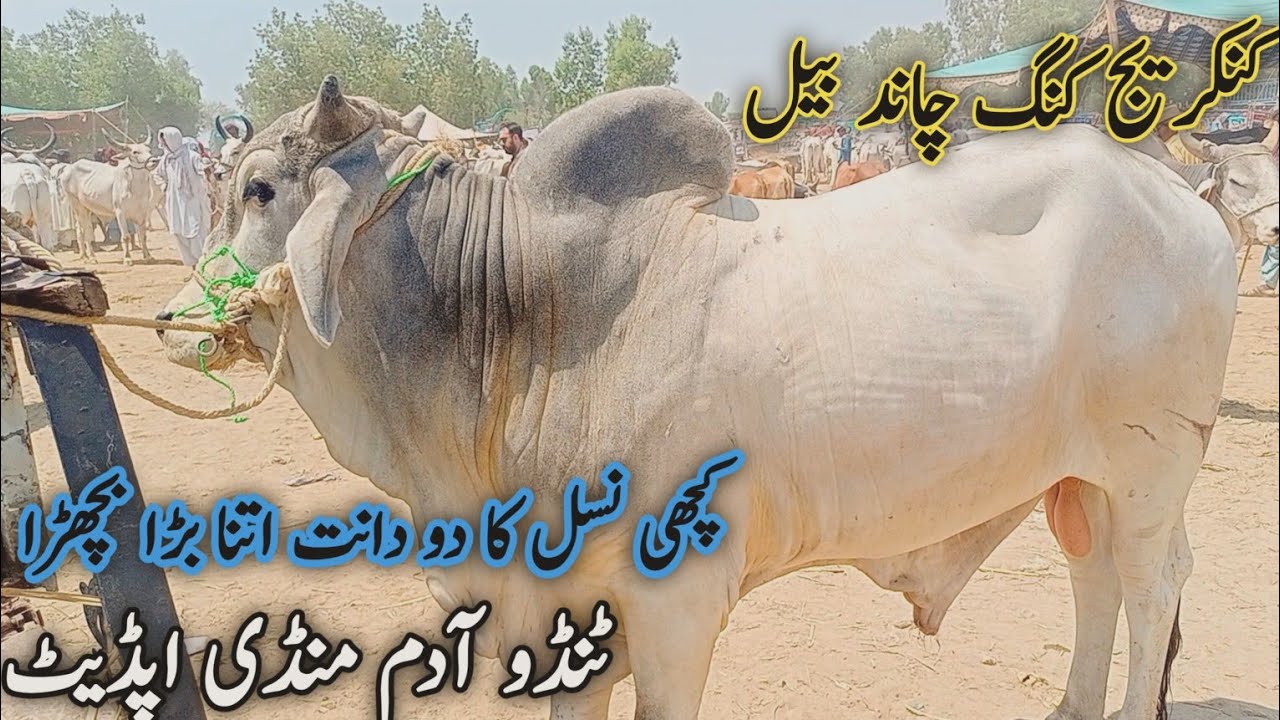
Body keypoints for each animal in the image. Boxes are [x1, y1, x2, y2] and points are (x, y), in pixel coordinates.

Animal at [61, 127, 156, 265]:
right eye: (135, 152)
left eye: (149, 150)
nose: (154, 160)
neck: (136, 188)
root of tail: (69, 168)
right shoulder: (120, 212)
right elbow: (125, 236)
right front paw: (127, 258)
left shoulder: (142, 213)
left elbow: (143, 236)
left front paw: (148, 256)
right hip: (77, 206)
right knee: (86, 231)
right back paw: (92, 257)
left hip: (87, 208)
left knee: (79, 230)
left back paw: (84, 256)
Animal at [158, 78, 1274, 720]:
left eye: (257, 191)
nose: (169, 320)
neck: (522, 312)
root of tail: (1181, 198)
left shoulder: (676, 603)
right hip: (1077, 480)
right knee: (1093, 584)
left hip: (1149, 473)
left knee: (1149, 591)